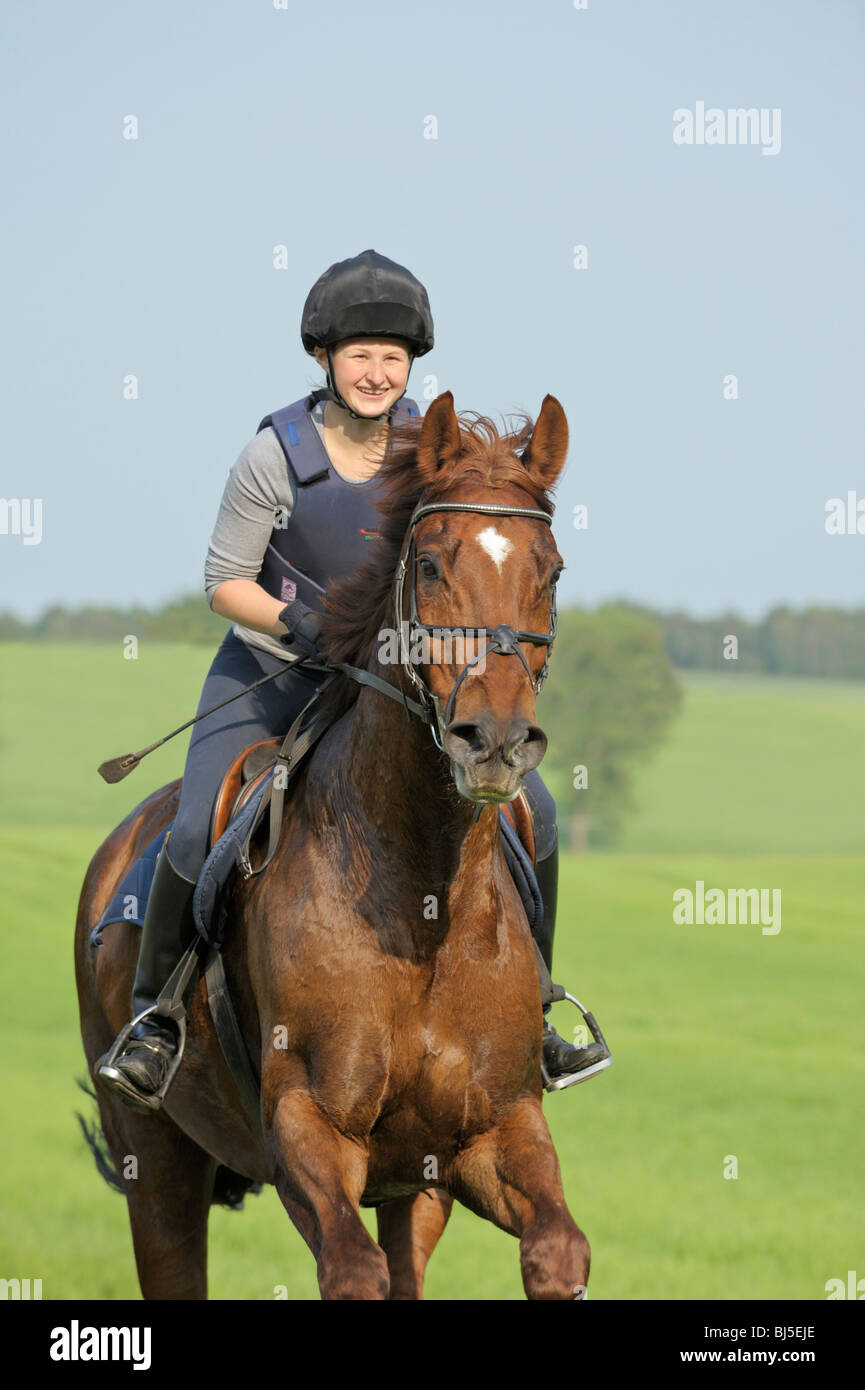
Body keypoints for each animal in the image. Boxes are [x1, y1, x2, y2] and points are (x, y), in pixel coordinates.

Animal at [74, 390, 592, 1300]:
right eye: (429, 565)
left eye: (551, 570)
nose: (493, 741)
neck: (421, 903)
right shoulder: (307, 1130)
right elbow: (353, 1271)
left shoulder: (488, 1135)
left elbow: (558, 1252)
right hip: (157, 1160)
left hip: (414, 1191)